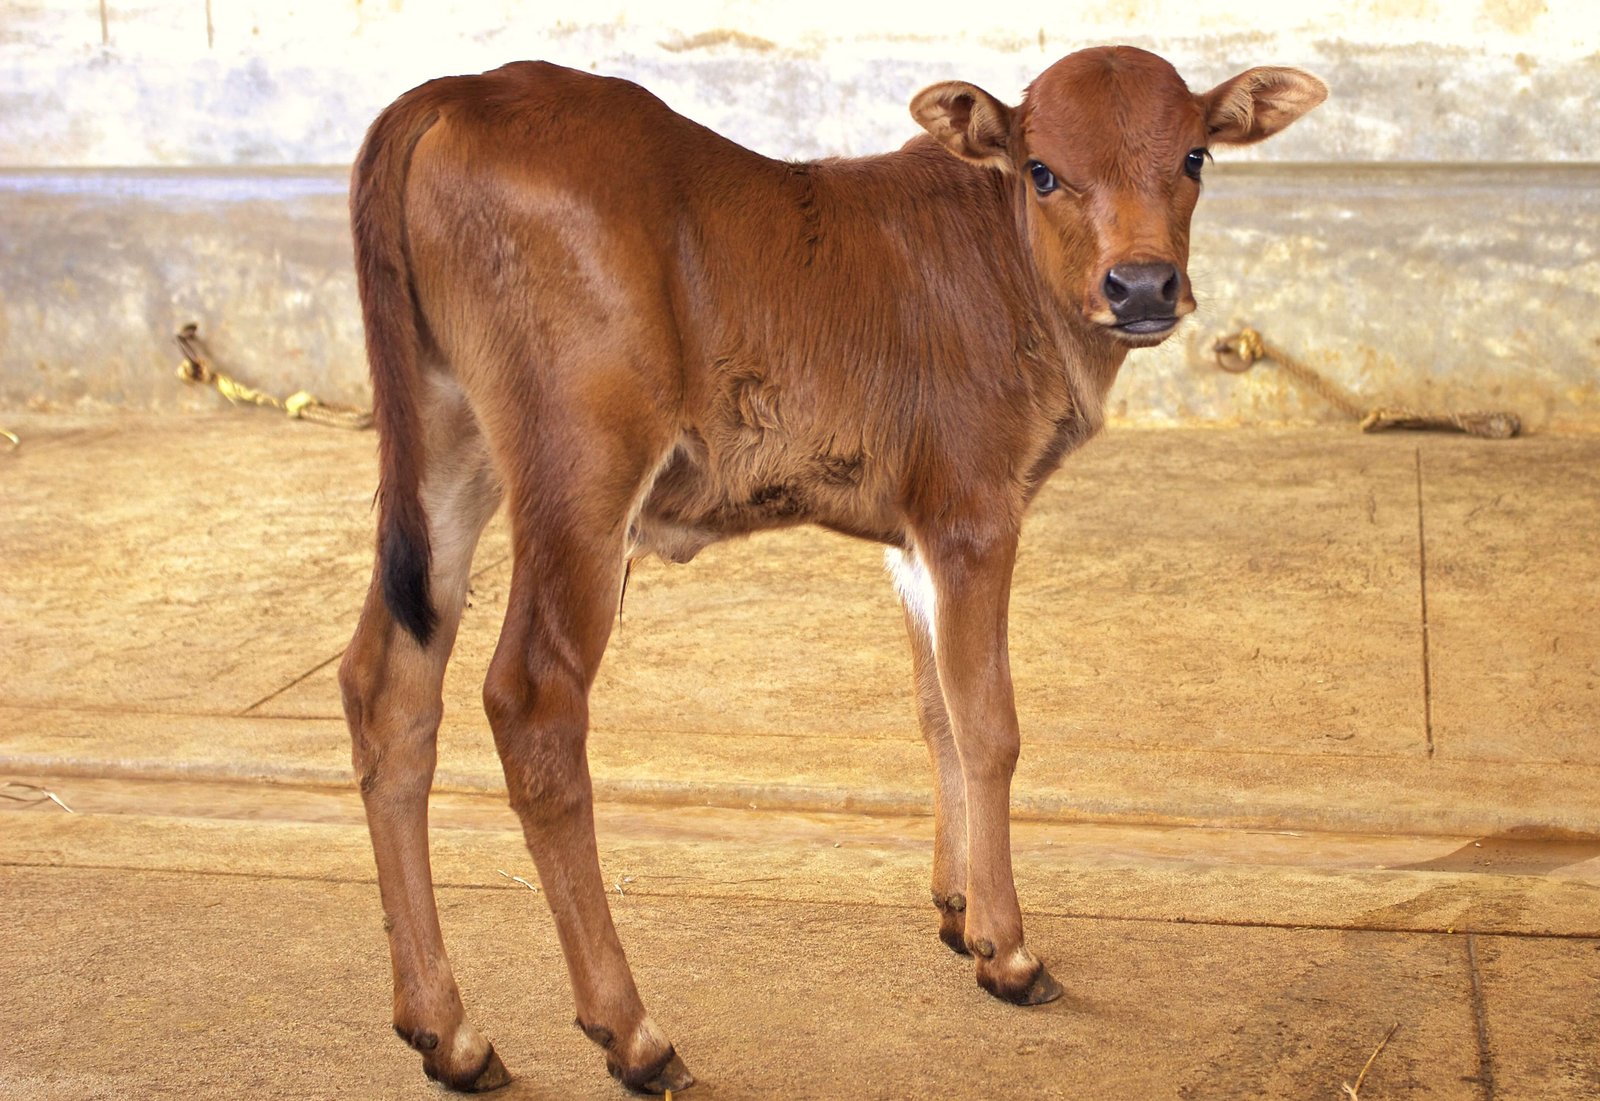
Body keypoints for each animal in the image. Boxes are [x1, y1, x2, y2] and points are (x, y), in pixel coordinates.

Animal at [339, 45, 1325, 1093]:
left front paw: (958, 911)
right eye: (1043, 171)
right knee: (531, 699)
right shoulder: (974, 506)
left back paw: (447, 1032)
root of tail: (456, 91)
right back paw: (632, 1032)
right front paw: (1010, 951)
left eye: (1194, 156)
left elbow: (935, 712)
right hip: (581, 466)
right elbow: (989, 725)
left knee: (387, 684)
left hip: (448, 445)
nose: (1141, 285)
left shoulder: (913, 532)